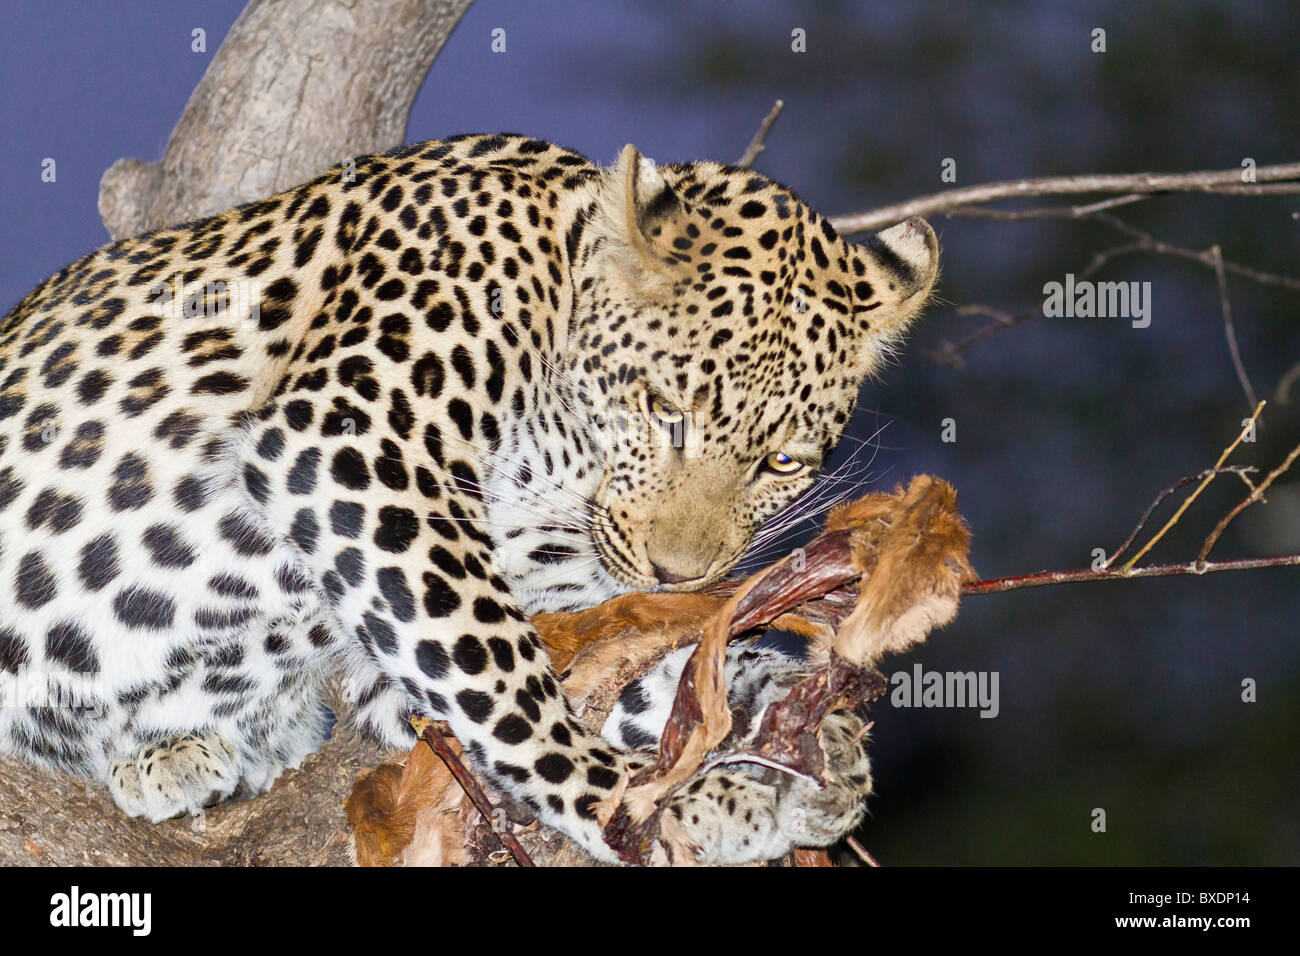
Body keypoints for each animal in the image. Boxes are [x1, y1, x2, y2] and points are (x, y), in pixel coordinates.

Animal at [0, 133, 937, 863]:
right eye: (665, 409)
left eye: (780, 460)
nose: (678, 574)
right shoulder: (353, 445)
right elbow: (507, 678)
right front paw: (628, 798)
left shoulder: (538, 592)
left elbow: (636, 670)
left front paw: (794, 736)